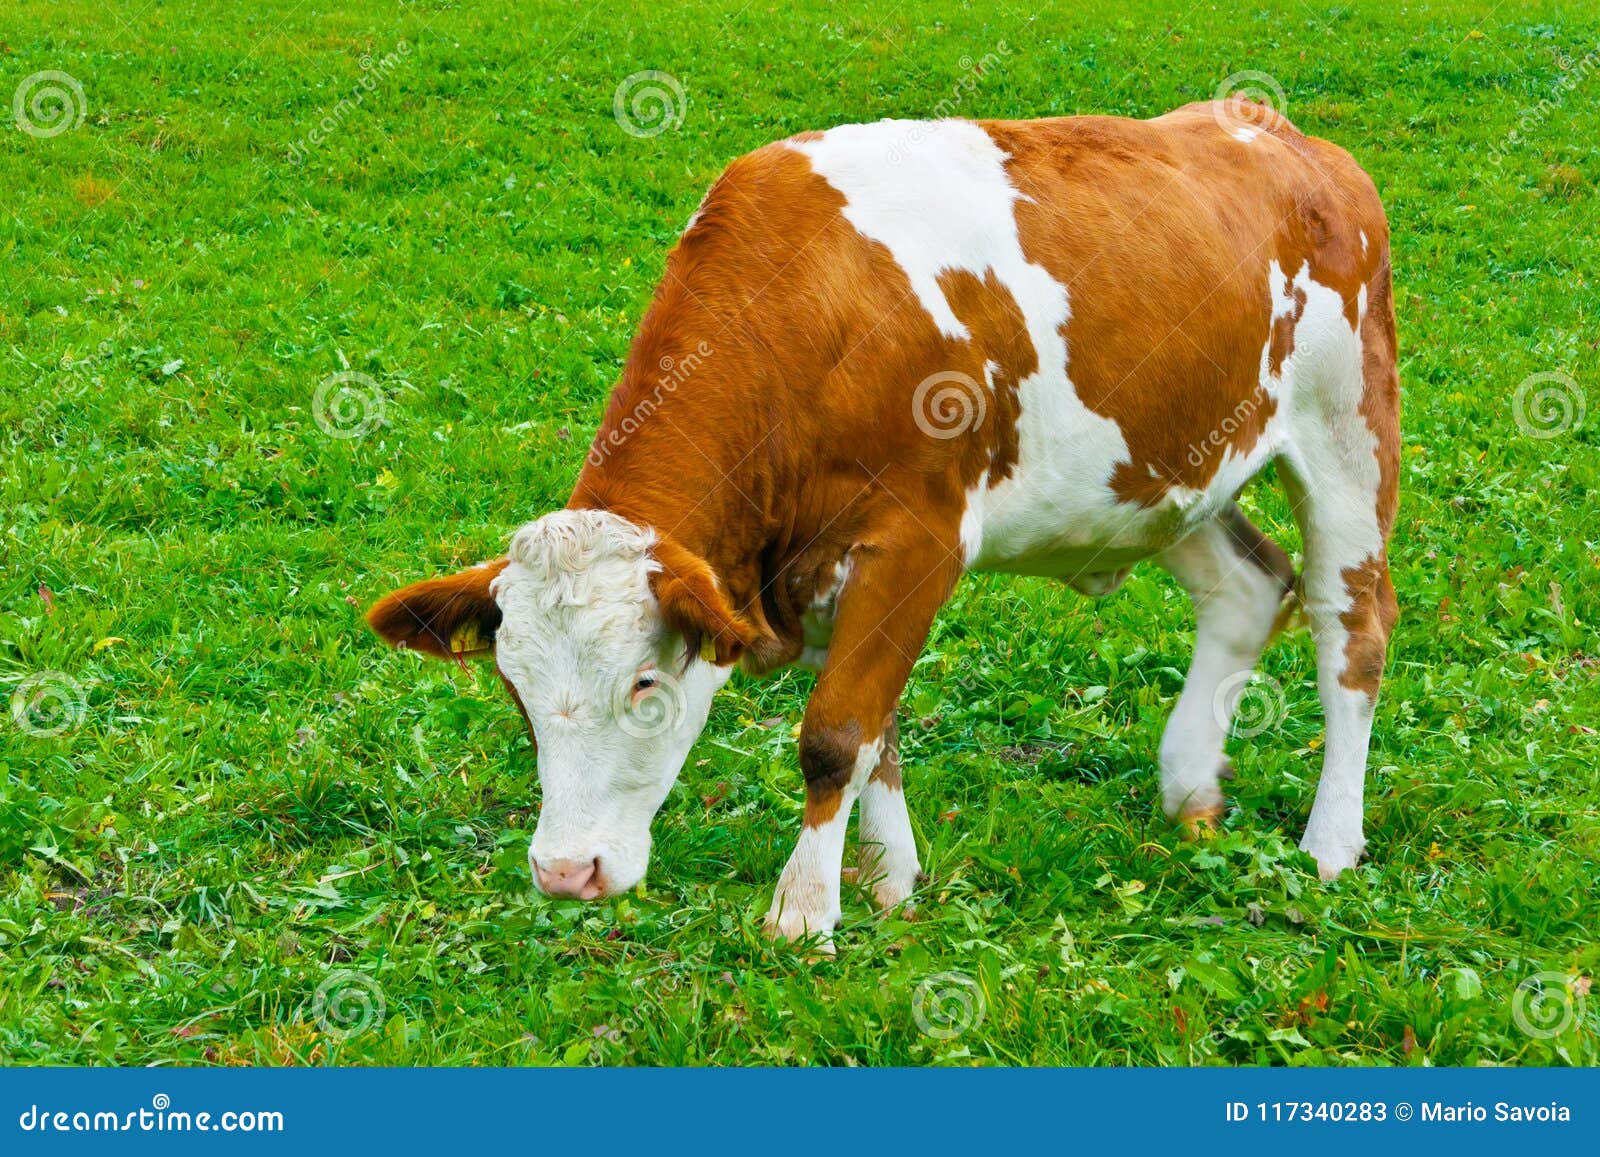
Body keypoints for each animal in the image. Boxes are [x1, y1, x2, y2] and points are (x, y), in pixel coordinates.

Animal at [367, 100, 1399, 947]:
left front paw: (803, 911)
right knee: (1249, 589)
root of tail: (1278, 131)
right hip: (1169, 467)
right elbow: (879, 724)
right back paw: (1189, 788)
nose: (565, 871)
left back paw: (1330, 840)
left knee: (1351, 626)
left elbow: (836, 731)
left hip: (1347, 428)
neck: (809, 313)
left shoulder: (917, 537)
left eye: (646, 684)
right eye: (516, 692)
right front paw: (889, 879)